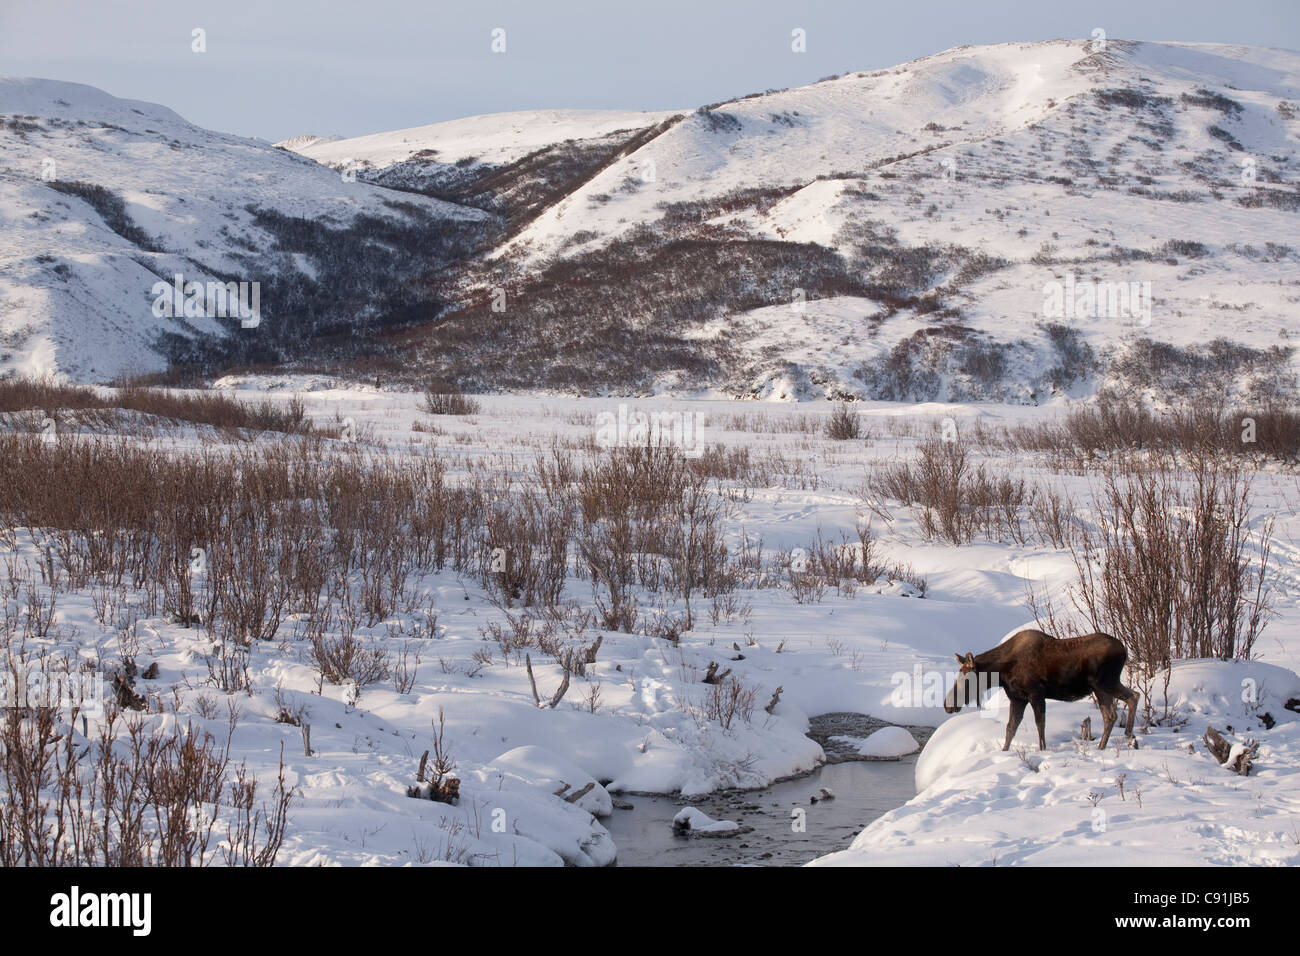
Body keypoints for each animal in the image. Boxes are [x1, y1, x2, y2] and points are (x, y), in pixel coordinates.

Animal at [944, 629, 1140, 750]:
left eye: (966, 679)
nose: (947, 704)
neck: (1001, 673)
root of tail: (1124, 650)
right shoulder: (1018, 698)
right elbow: (1010, 728)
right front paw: (1004, 751)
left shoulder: (1035, 693)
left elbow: (1040, 724)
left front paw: (1043, 750)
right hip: (1099, 688)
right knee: (1111, 715)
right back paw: (1102, 747)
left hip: (1106, 682)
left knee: (1134, 696)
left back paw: (1129, 736)